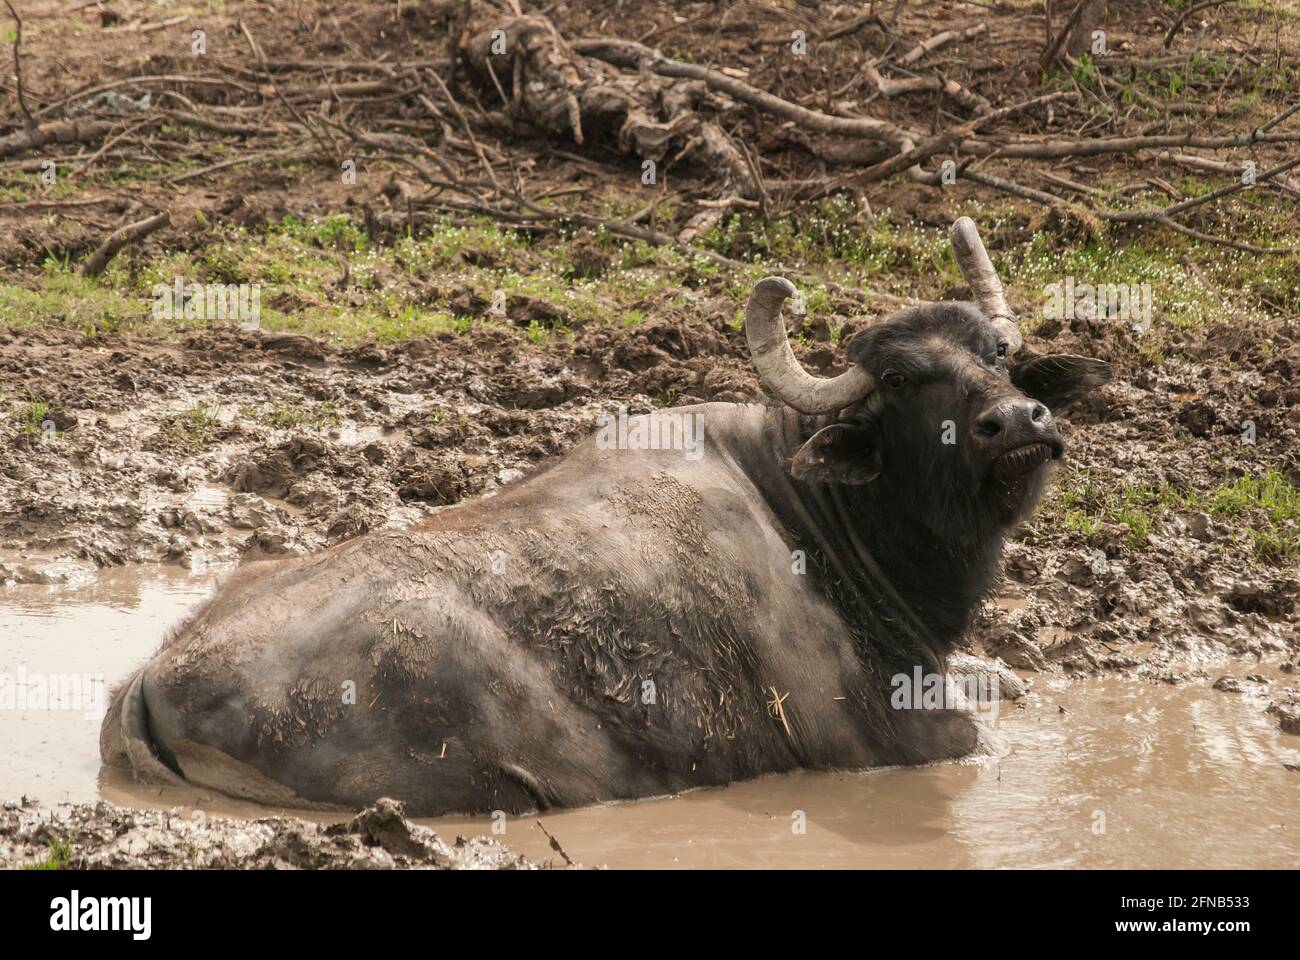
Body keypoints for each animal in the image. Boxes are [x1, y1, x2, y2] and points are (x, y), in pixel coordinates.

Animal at [100, 219, 1108, 815]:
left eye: (995, 355)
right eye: (900, 379)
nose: (1019, 421)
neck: (817, 525)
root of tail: (155, 678)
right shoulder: (901, 739)